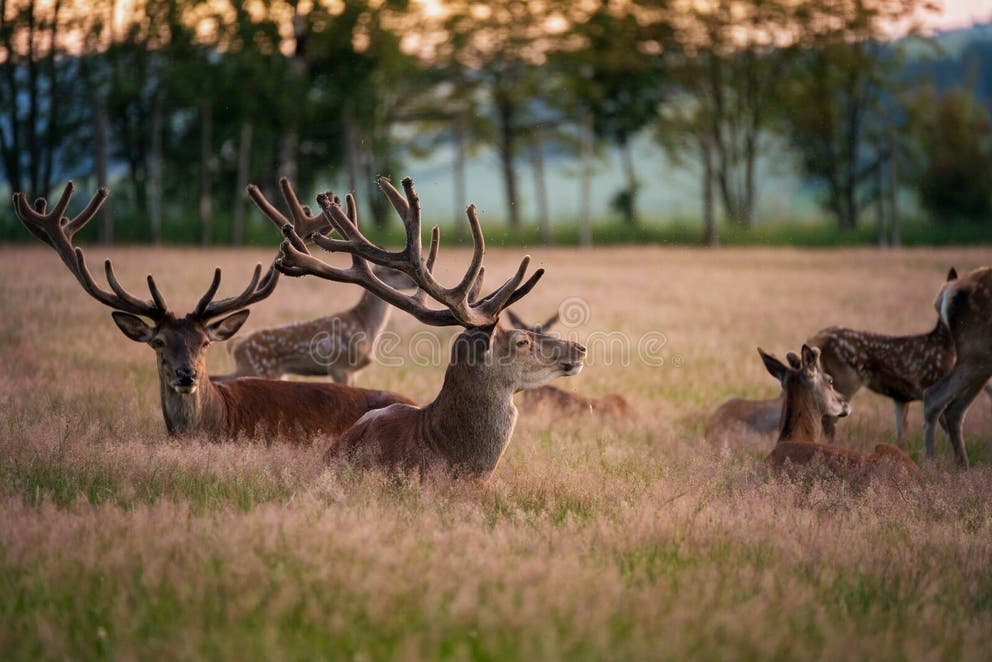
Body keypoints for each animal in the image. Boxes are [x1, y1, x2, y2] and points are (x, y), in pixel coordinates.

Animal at [212, 180, 416, 385]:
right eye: (394, 271)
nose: (414, 283)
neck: (365, 326)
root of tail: (235, 345)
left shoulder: (353, 372)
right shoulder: (338, 366)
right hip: (260, 368)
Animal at [922, 266, 992, 468]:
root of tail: (946, 292)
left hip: (981, 360)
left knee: (954, 409)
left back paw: (963, 469)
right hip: (977, 350)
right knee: (933, 397)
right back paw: (930, 467)